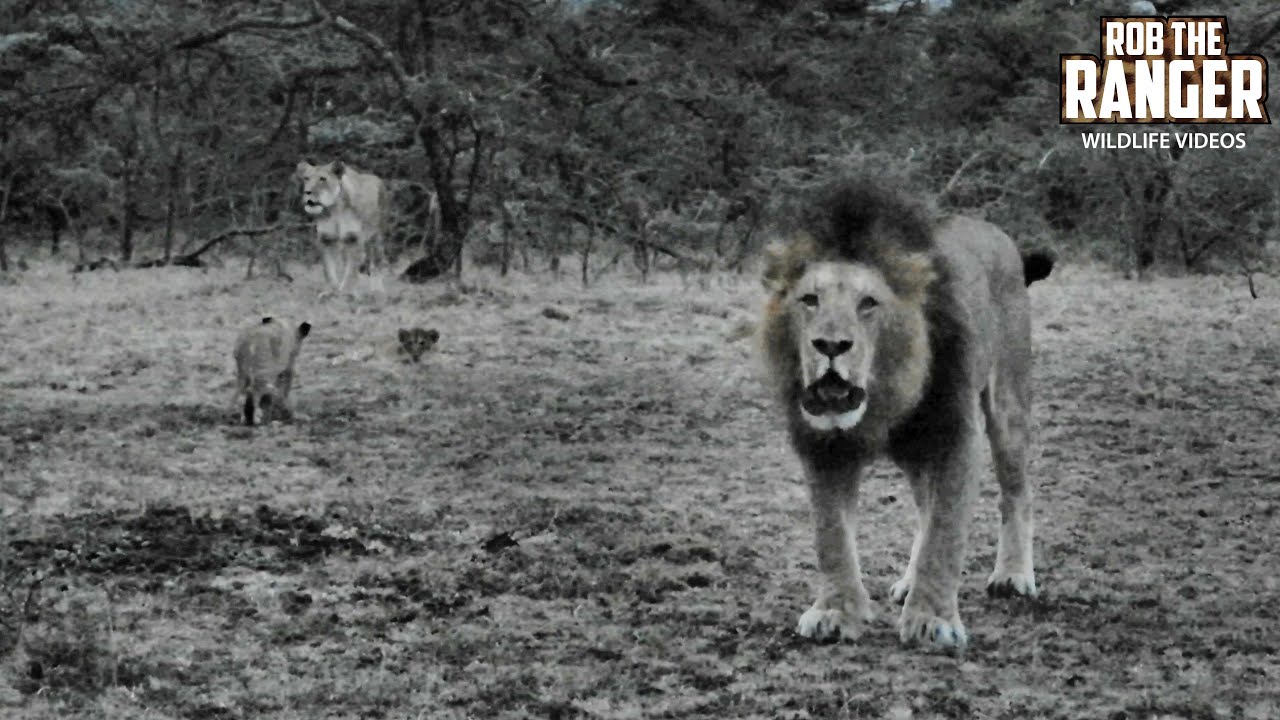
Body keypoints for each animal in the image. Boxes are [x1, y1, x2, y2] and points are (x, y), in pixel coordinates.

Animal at [296, 160, 389, 298]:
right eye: (306, 178)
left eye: (322, 179)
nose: (307, 192)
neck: (335, 209)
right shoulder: (326, 239)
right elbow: (329, 270)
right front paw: (330, 291)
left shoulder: (354, 239)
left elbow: (351, 271)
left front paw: (346, 293)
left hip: (377, 235)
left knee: (376, 262)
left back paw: (377, 291)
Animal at [759, 179, 1053, 650]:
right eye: (809, 300)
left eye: (868, 303)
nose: (830, 345)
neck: (886, 392)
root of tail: (1002, 238)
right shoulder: (822, 446)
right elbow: (831, 535)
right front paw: (834, 612)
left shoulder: (956, 436)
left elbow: (945, 533)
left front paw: (932, 620)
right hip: (917, 450)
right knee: (923, 505)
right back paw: (910, 581)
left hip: (1007, 404)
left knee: (1016, 491)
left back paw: (1012, 576)